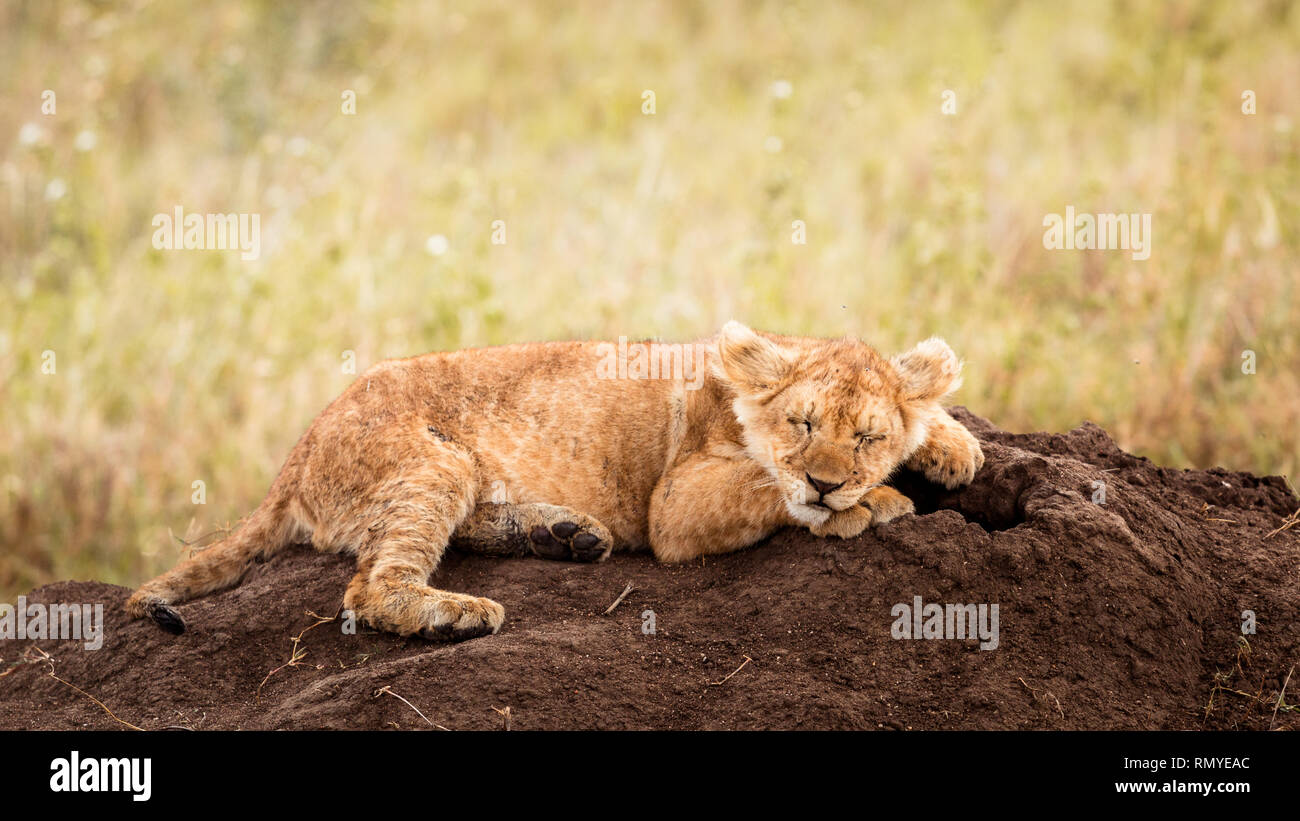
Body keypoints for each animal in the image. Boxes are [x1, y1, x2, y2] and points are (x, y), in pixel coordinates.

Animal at [126, 321, 984, 641]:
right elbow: (767, 485)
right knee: (370, 586)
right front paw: (871, 502)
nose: (831, 483)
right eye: (803, 425)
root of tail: (298, 446)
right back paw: (459, 611)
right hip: (429, 459)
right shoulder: (675, 504)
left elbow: (918, 387)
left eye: (867, 436)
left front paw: (955, 448)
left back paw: (564, 534)